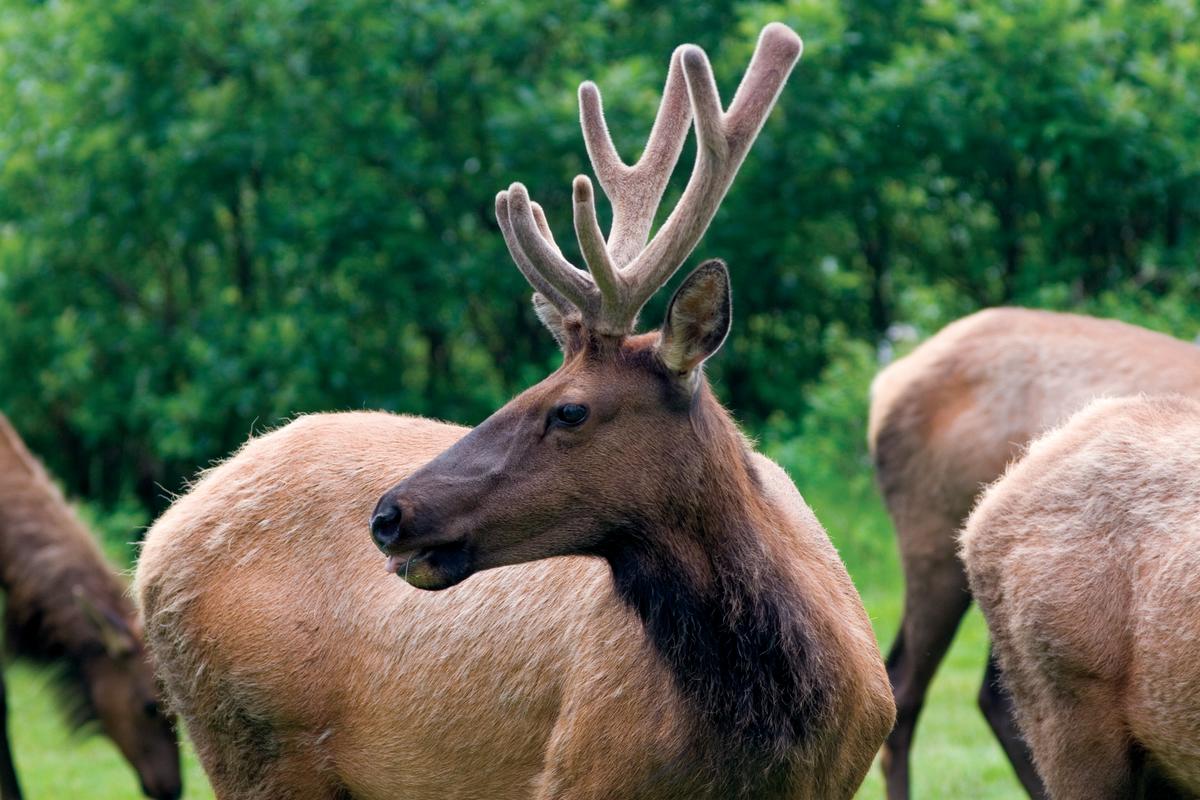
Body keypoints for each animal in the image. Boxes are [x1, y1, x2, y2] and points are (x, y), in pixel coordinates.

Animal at [135, 23, 894, 800]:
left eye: (569, 410)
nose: (388, 515)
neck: (771, 733)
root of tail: (157, 541)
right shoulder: (579, 775)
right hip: (254, 747)